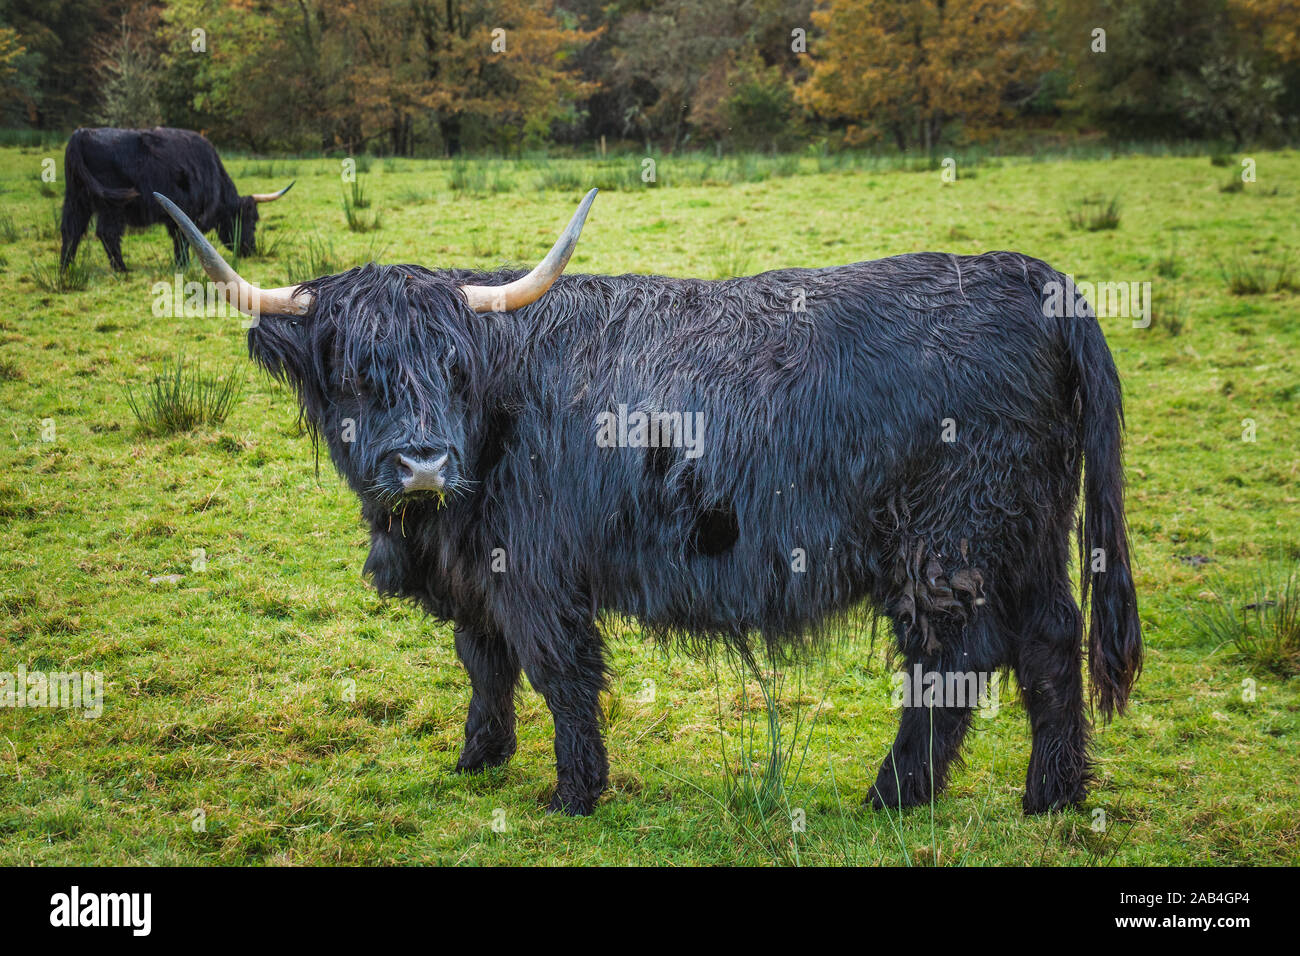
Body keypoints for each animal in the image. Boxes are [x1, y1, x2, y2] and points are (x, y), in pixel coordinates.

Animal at [61, 127, 292, 273]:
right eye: (251, 221)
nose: (250, 249)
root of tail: (81, 134)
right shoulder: (187, 211)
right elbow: (183, 239)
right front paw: (184, 265)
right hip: (112, 205)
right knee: (107, 233)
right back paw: (122, 268)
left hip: (76, 200)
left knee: (71, 231)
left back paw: (66, 268)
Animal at [155, 188, 1142, 818]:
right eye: (354, 372)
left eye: (456, 368)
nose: (423, 462)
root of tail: (1030, 277)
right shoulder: (477, 575)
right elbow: (483, 665)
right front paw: (478, 760)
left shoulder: (538, 572)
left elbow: (558, 673)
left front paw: (573, 793)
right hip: (1029, 533)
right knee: (1051, 644)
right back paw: (1053, 796)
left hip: (950, 540)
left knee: (955, 660)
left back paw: (893, 795)